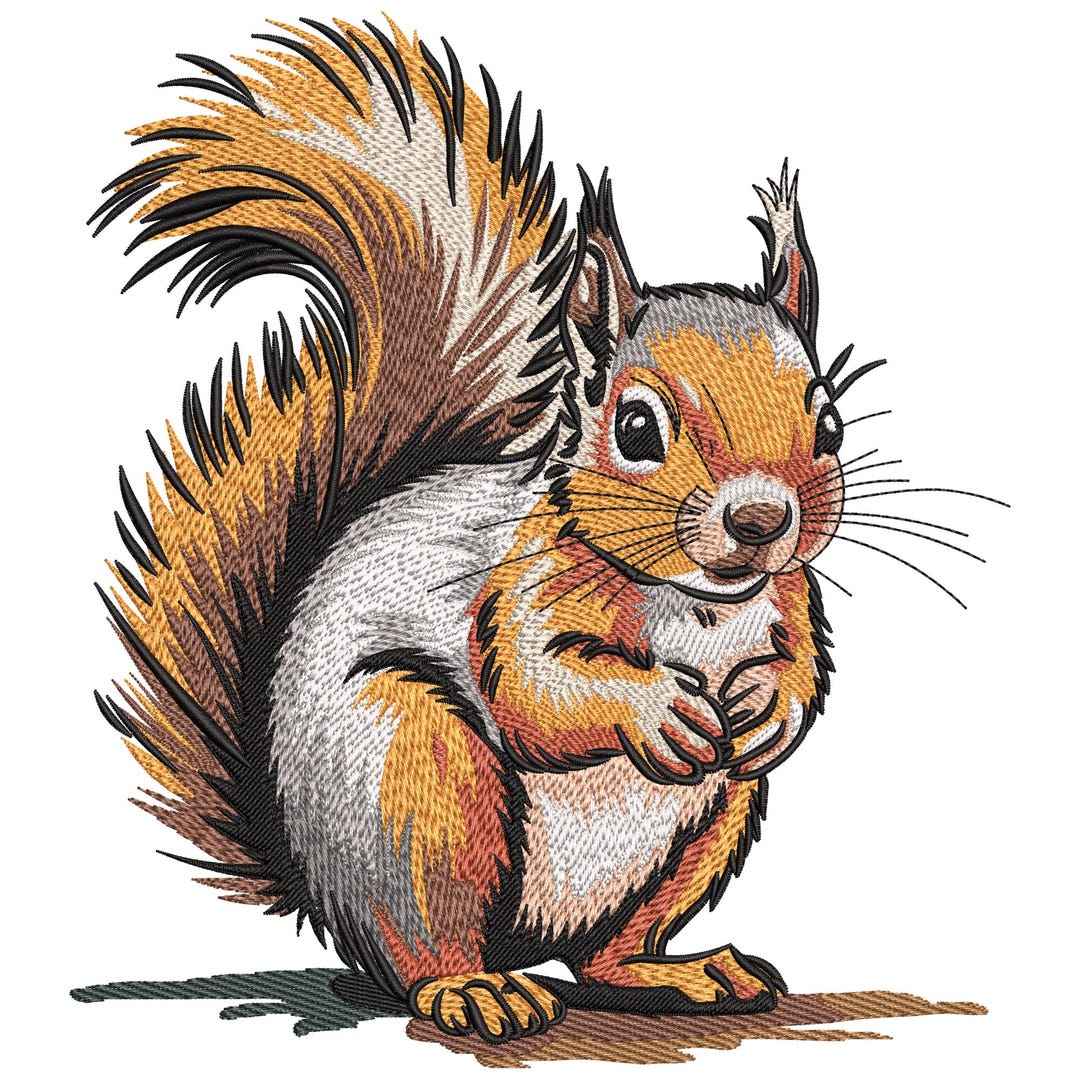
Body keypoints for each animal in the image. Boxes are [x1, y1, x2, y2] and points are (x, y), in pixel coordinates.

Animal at [90, 16, 855, 1044]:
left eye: (829, 423)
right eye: (636, 428)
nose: (762, 518)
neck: (698, 603)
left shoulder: (791, 602)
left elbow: (803, 674)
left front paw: (768, 705)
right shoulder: (517, 585)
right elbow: (534, 689)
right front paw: (656, 706)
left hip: (713, 818)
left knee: (603, 953)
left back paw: (674, 973)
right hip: (417, 784)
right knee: (424, 947)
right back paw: (474, 991)